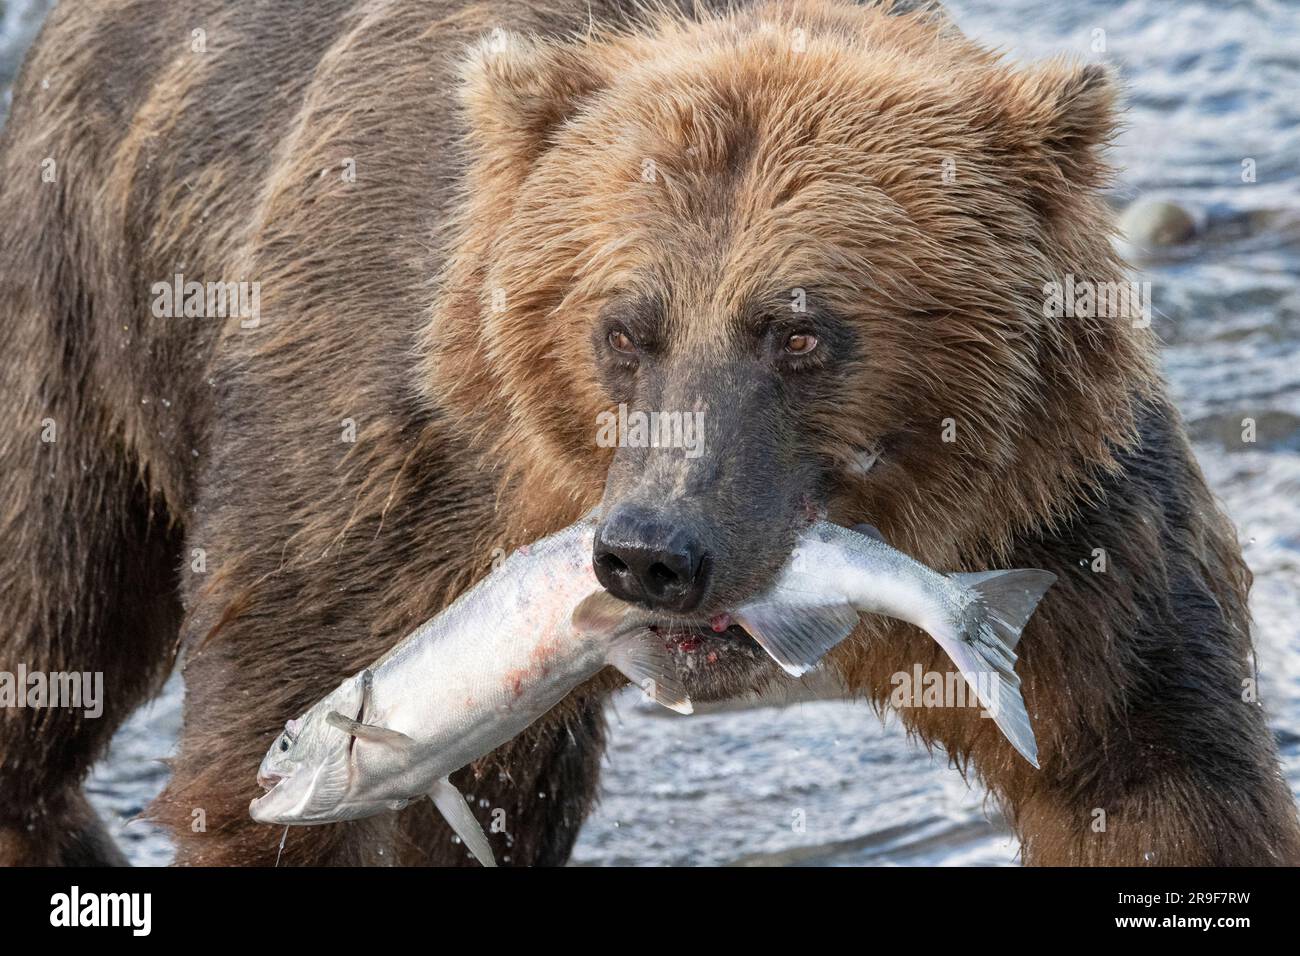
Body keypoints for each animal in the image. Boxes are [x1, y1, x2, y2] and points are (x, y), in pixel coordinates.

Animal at [1, 0, 1297, 866]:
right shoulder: (382, 482)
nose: (652, 553)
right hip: (76, 287)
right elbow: (264, 759)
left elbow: (1153, 764)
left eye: (800, 332)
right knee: (49, 611)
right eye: (622, 328)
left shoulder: (1057, 508)